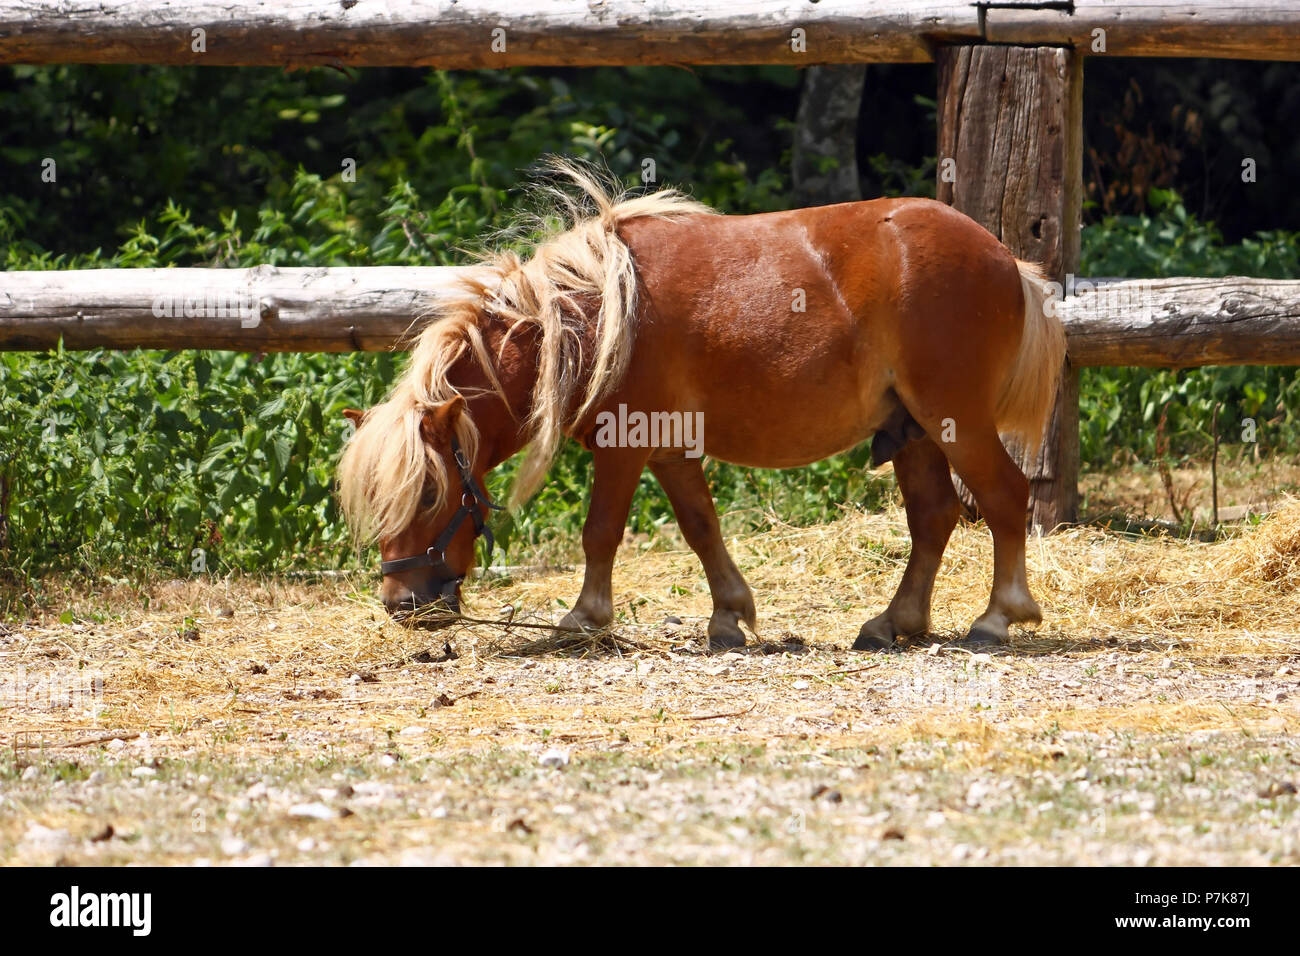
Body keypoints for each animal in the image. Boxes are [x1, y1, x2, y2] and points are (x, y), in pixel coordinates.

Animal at [338, 160, 1066, 652]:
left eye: (429, 496)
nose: (400, 602)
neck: (588, 318)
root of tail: (1007, 260)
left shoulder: (625, 447)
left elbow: (601, 533)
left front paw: (583, 618)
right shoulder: (668, 450)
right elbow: (701, 527)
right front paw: (729, 616)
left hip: (953, 421)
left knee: (1004, 497)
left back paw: (998, 617)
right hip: (910, 430)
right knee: (934, 517)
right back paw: (894, 622)